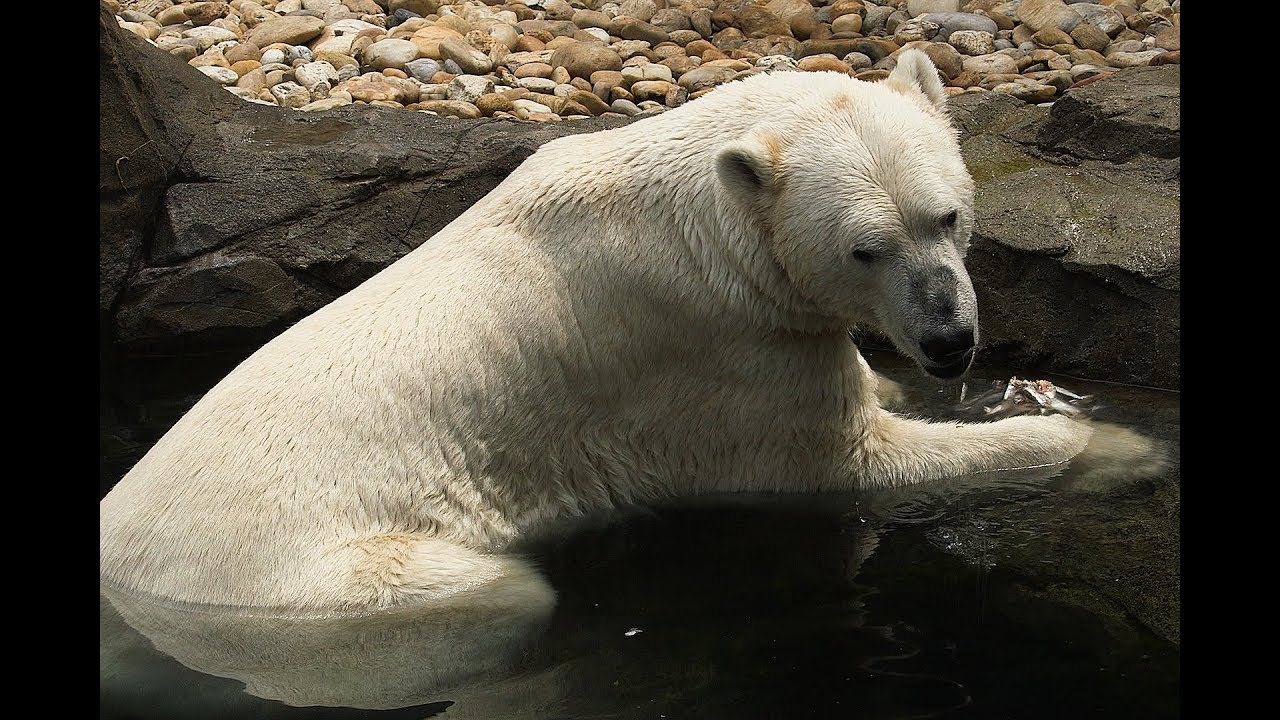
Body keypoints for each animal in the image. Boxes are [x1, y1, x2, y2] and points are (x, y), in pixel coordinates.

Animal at [100, 51, 1146, 708]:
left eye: (949, 216)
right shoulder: (707, 346)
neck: (697, 220)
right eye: (865, 248)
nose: (951, 341)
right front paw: (1115, 444)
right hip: (308, 580)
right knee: (495, 594)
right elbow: (848, 463)